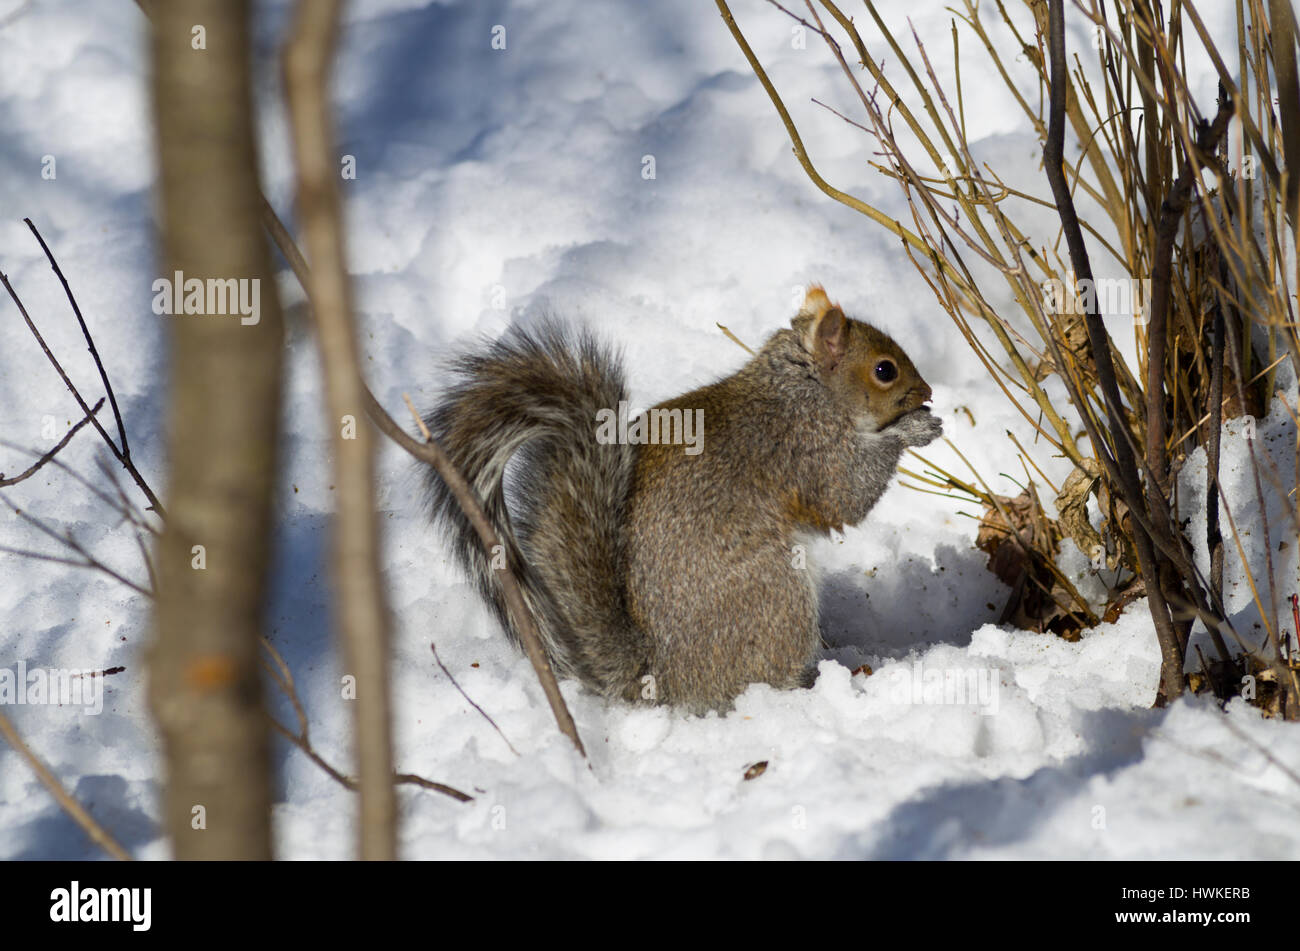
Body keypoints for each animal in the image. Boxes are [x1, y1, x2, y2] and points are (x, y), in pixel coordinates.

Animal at [424, 286, 942, 713]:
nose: (929, 392)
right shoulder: (808, 445)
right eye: (884, 370)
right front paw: (913, 429)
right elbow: (846, 495)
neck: (802, 385)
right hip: (776, 595)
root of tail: (660, 679)